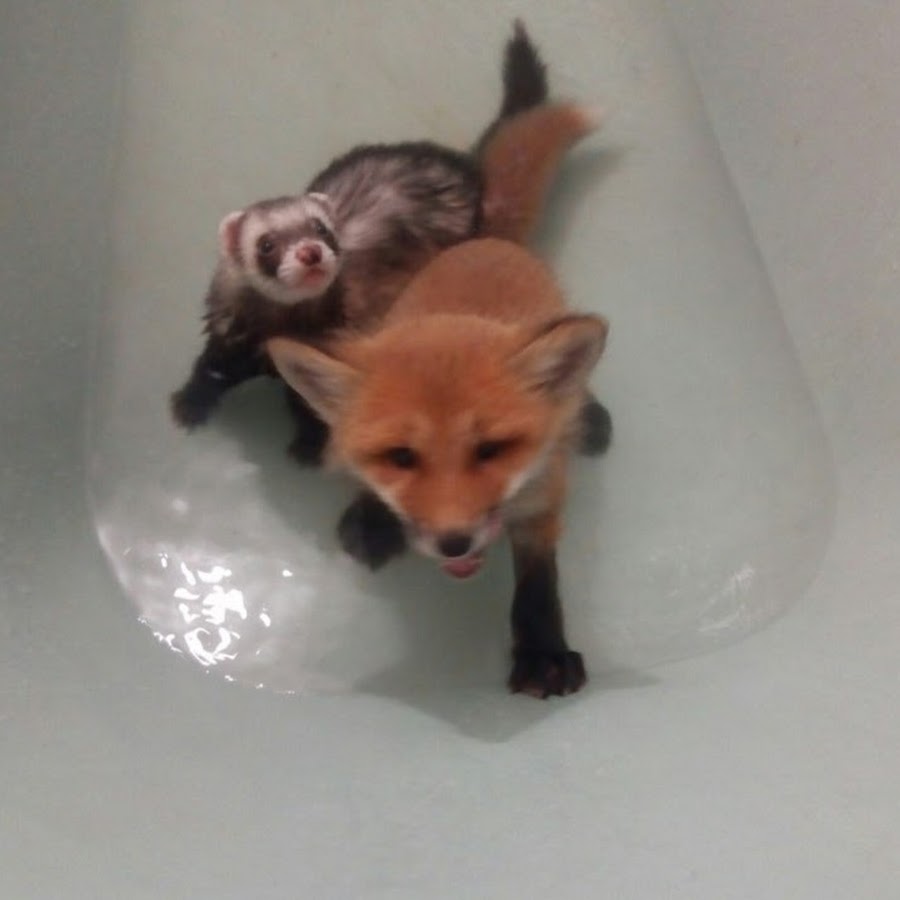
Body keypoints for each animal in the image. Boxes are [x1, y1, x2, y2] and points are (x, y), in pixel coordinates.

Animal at [267, 232, 609, 699]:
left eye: (491, 449)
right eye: (400, 457)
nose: (454, 543)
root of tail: (489, 241)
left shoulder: (543, 496)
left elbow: (538, 582)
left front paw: (543, 652)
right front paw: (373, 519)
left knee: (574, 391)